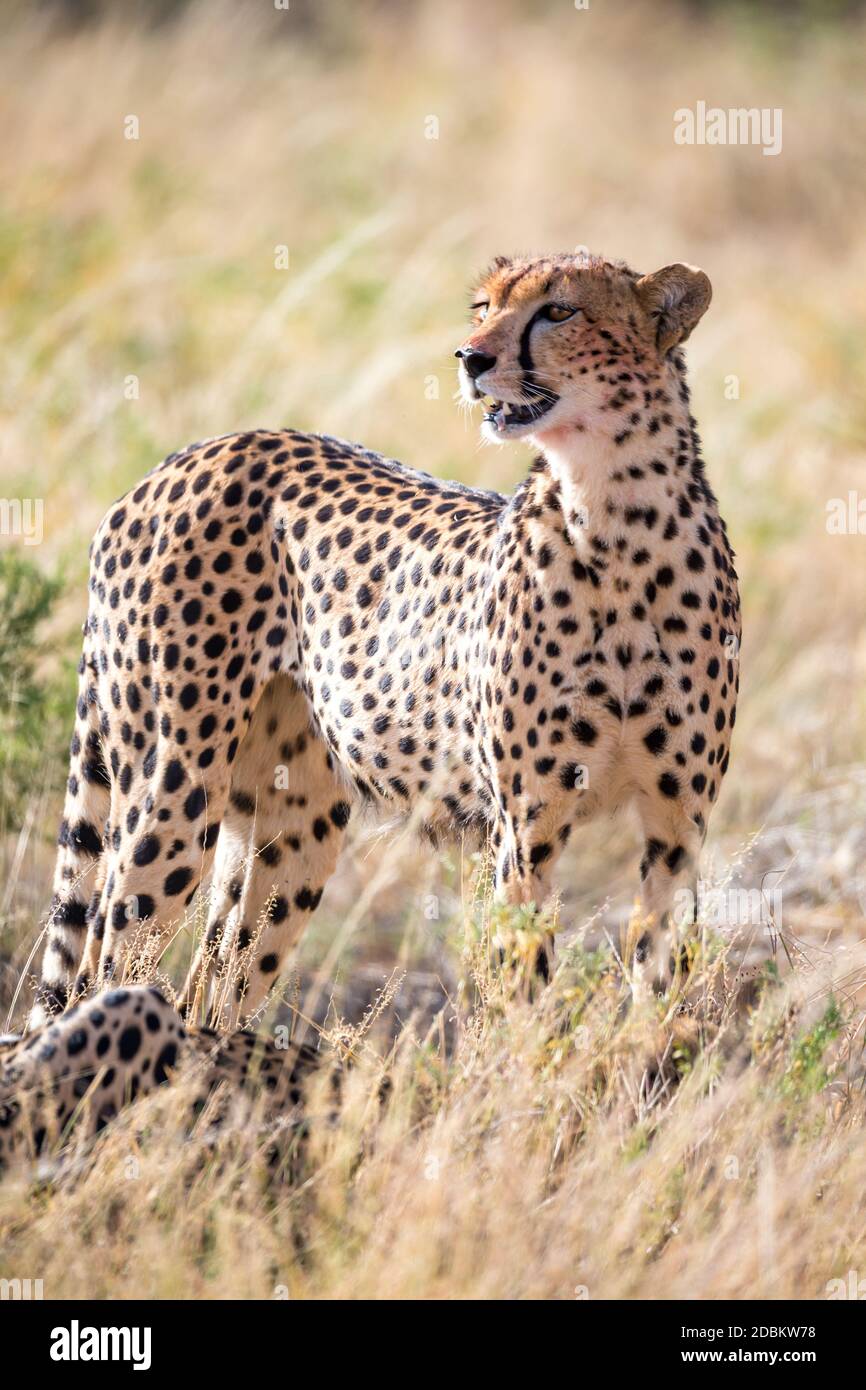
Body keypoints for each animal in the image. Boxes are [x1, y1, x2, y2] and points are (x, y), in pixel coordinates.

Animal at [29, 248, 740, 1034]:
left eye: (559, 310)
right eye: (483, 307)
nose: (470, 358)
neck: (617, 516)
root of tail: (182, 459)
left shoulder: (676, 826)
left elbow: (660, 982)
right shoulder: (526, 827)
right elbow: (522, 982)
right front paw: (523, 1062)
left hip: (293, 821)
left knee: (212, 987)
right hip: (170, 785)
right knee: (104, 962)